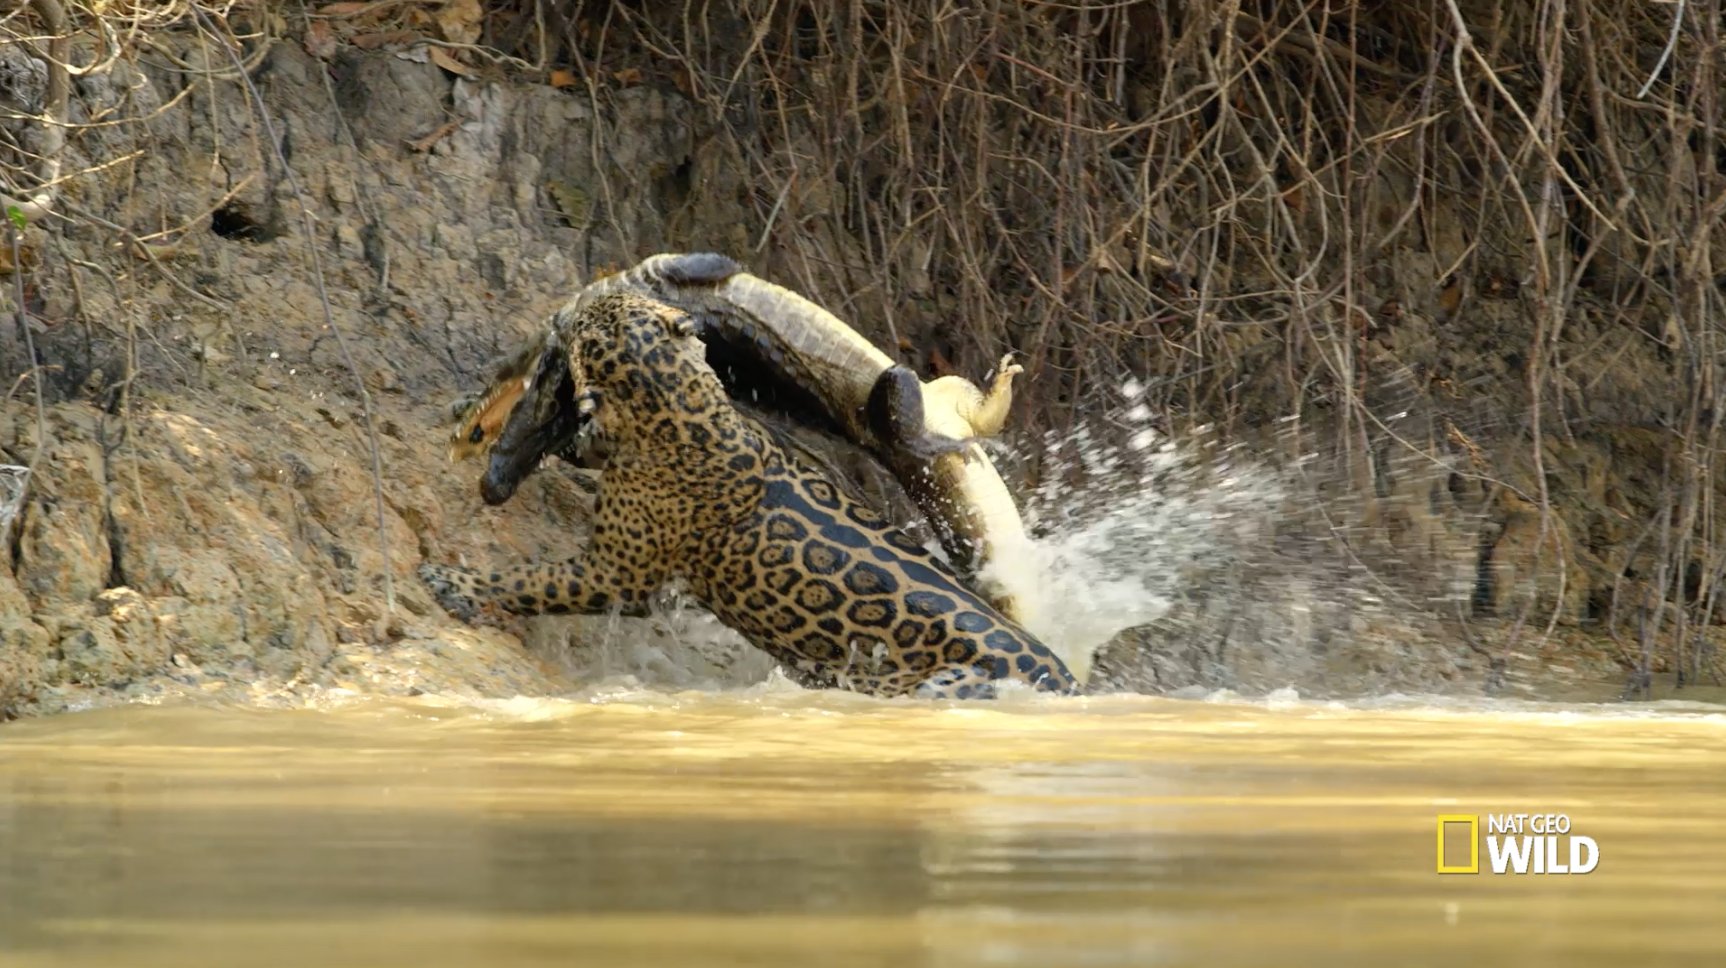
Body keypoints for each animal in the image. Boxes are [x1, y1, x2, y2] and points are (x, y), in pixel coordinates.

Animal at [419, 291, 1077, 699]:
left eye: (594, 318)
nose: (573, 307)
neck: (676, 402)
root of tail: (1064, 678)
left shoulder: (616, 574)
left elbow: (533, 580)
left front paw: (451, 582)